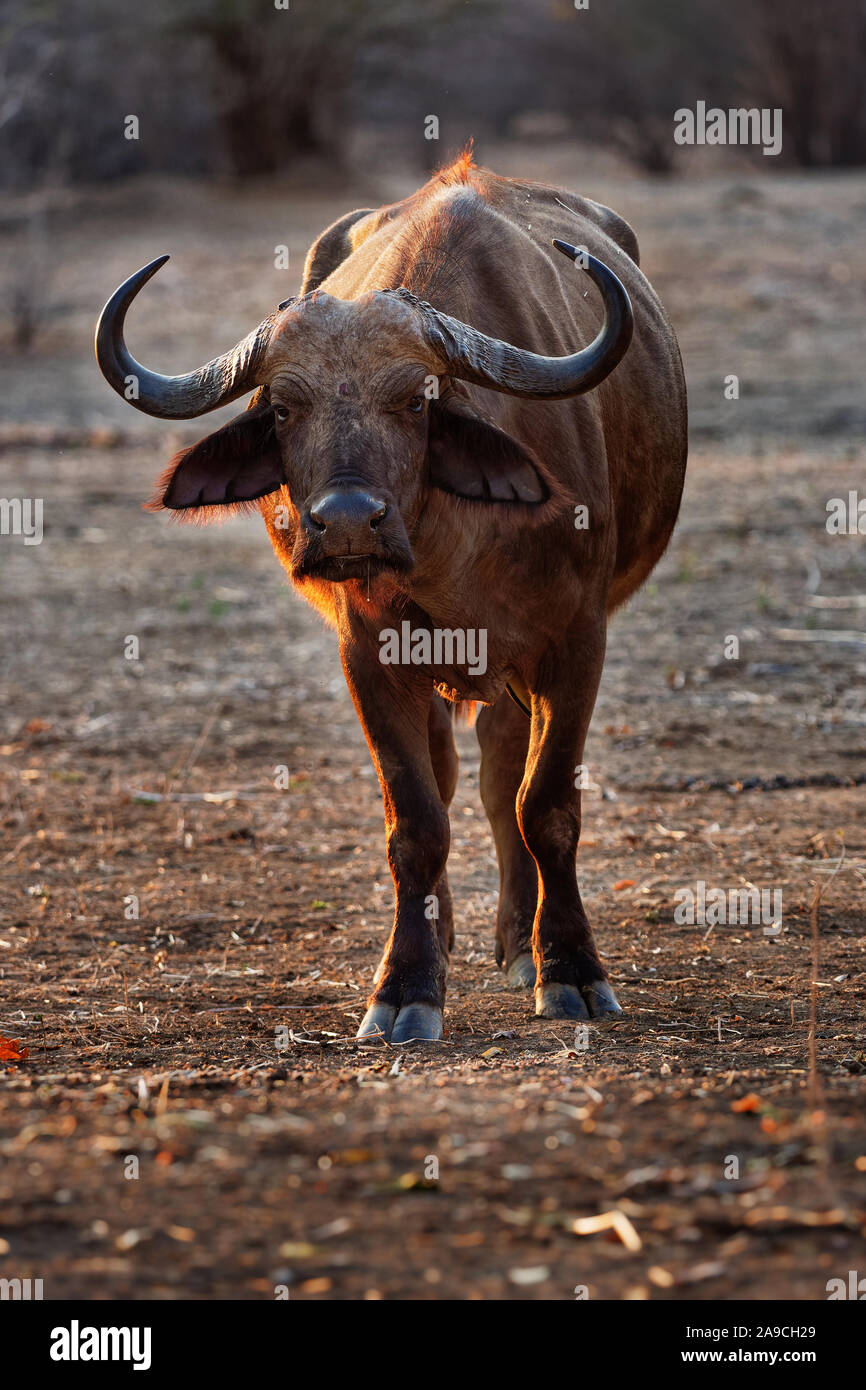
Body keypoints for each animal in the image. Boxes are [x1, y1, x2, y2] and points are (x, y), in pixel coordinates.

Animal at [95, 154, 687, 1042]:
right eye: (283, 407)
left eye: (417, 399)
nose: (347, 523)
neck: (453, 551)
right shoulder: (371, 657)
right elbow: (415, 821)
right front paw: (407, 984)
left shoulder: (578, 643)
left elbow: (546, 807)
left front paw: (571, 970)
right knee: (453, 779)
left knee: (501, 782)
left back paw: (518, 945)